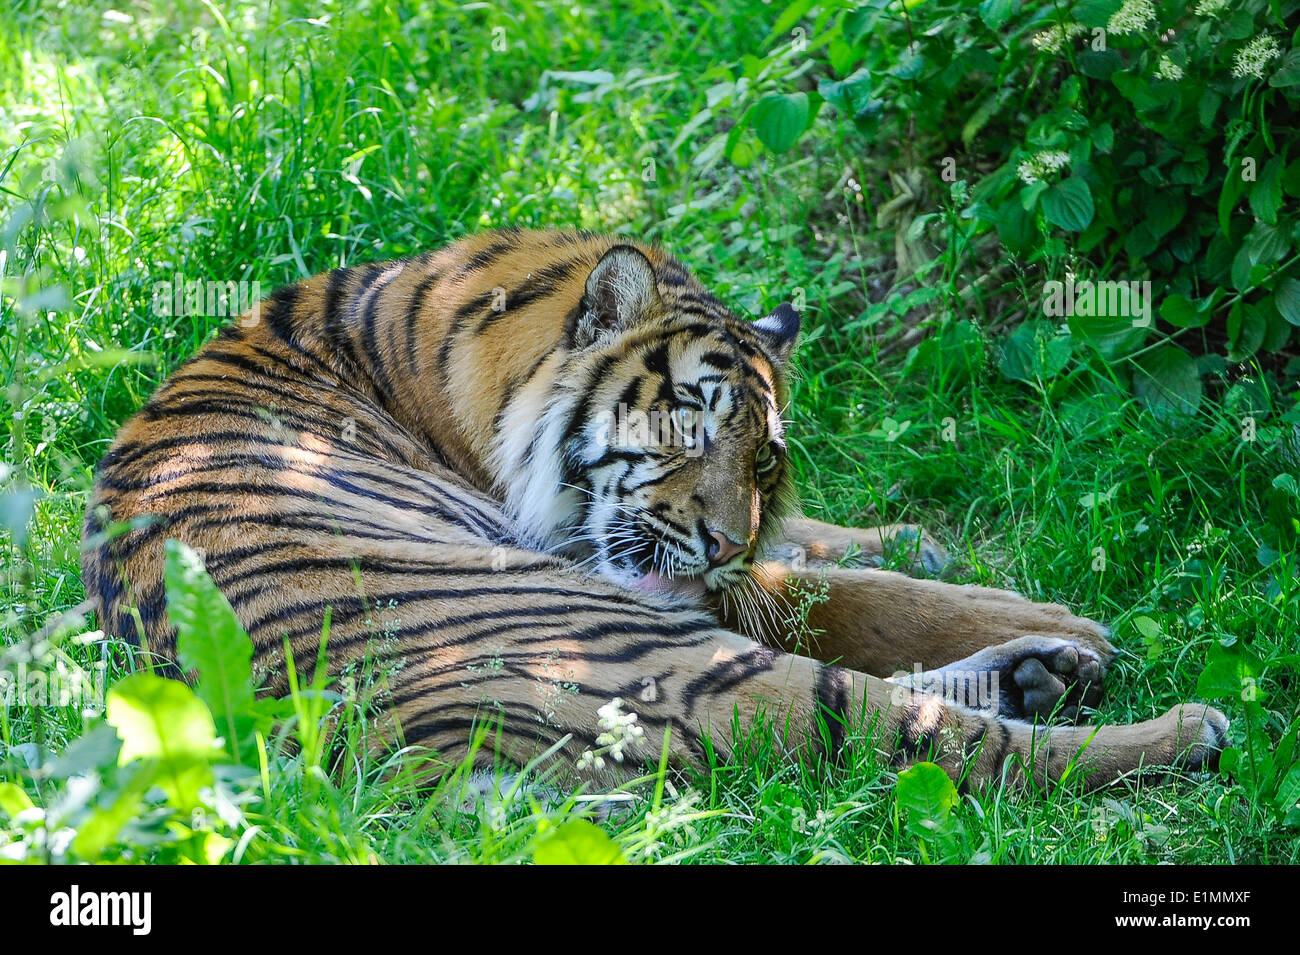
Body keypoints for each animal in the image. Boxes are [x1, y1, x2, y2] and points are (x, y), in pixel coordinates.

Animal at [81, 228, 1227, 791]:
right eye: (687, 428)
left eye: (764, 455)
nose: (722, 537)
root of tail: (422, 761)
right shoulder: (659, 577)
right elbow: (836, 590)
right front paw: (1059, 616)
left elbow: (823, 557)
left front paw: (909, 534)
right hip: (644, 649)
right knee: (944, 741)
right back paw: (1157, 716)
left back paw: (1044, 672)